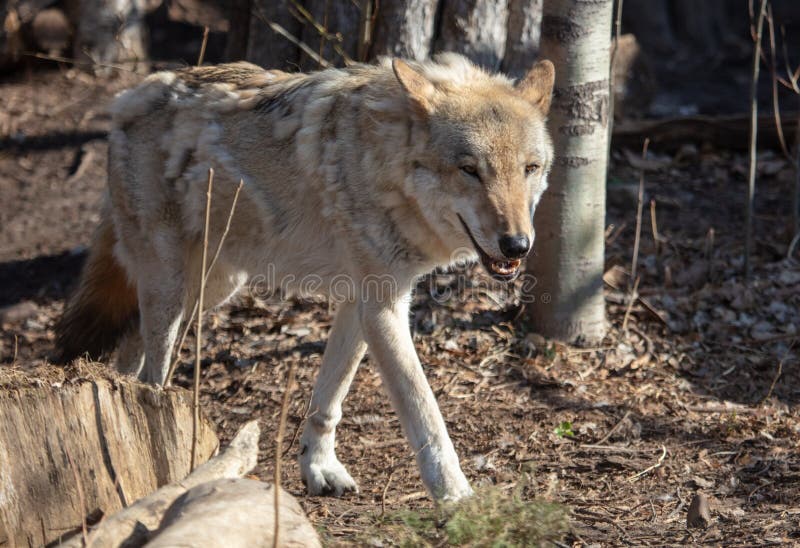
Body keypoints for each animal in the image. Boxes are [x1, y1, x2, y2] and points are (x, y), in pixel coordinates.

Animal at [56, 53, 555, 501]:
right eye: (470, 170)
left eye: (530, 168)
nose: (517, 245)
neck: (382, 159)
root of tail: (128, 96)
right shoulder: (384, 306)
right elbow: (425, 411)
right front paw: (456, 496)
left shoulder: (362, 301)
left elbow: (328, 401)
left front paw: (318, 468)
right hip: (173, 291)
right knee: (153, 374)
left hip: (210, 289)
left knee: (130, 352)